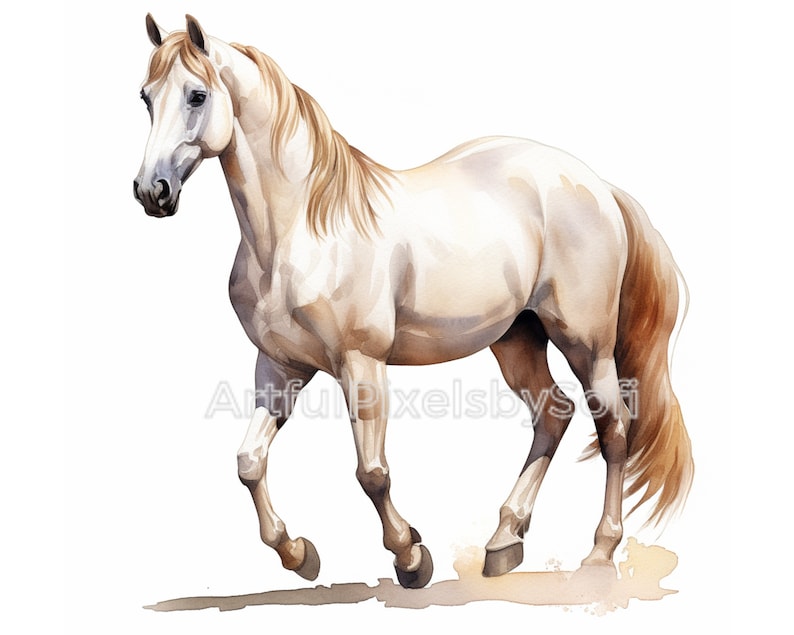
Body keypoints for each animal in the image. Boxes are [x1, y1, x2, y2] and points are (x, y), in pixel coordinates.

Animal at [133, 14, 693, 589]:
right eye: (146, 97)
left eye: (197, 95)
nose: (152, 191)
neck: (299, 231)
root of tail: (597, 186)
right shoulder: (279, 367)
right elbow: (249, 462)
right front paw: (297, 553)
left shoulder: (361, 363)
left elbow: (372, 473)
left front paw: (410, 556)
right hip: (516, 339)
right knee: (553, 415)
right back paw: (504, 541)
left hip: (587, 344)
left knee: (615, 430)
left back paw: (599, 553)